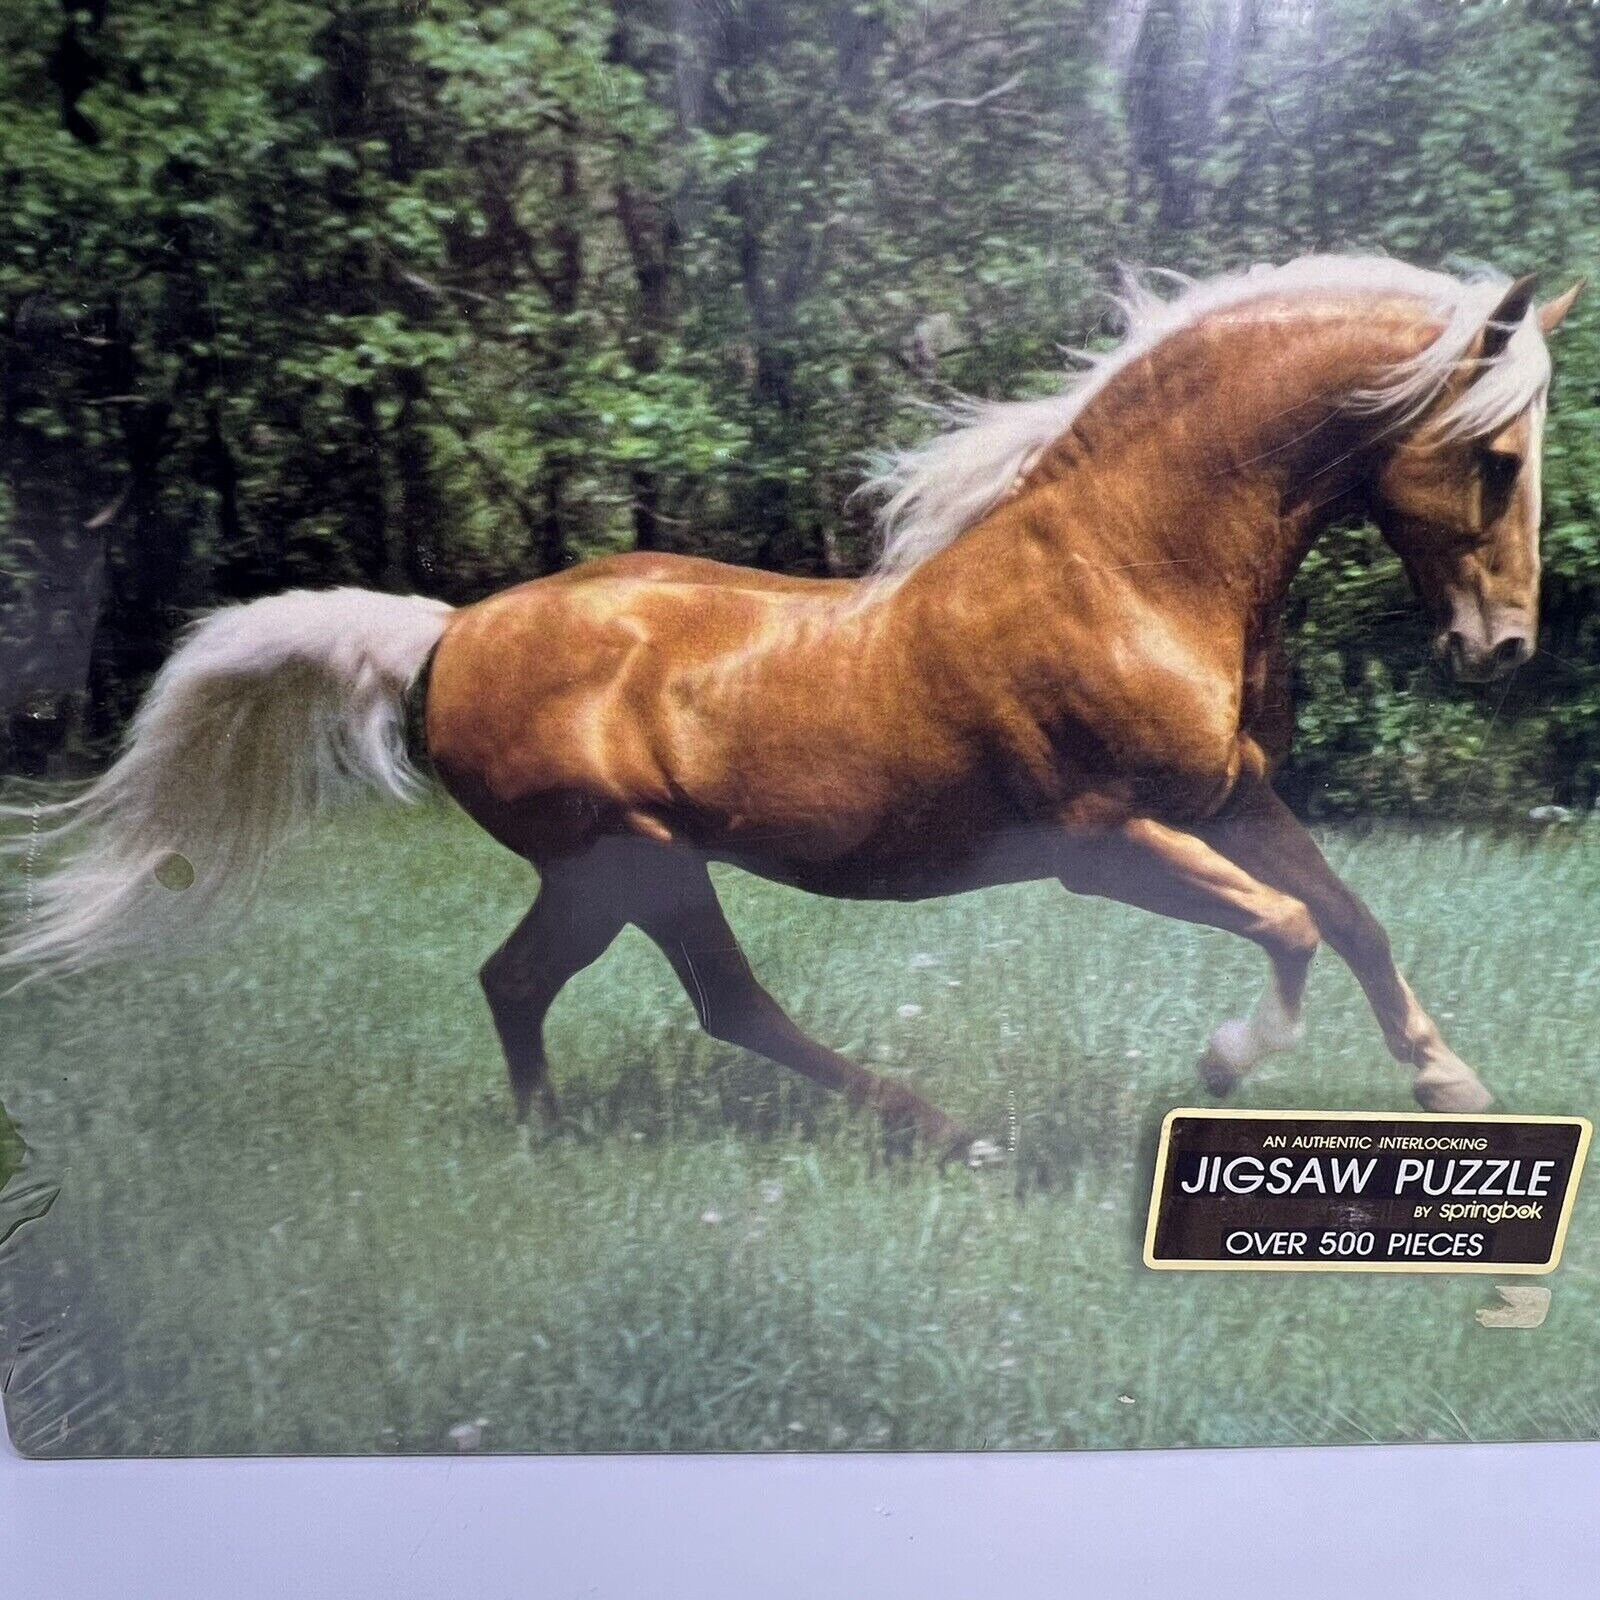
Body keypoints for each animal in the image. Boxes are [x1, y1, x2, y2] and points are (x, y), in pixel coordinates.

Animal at [2, 255, 1583, 1166]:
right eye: (1500, 457)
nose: (1502, 647)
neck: (1129, 567)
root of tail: (450, 633)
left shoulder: (1233, 797)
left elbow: (1354, 916)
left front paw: (1454, 1090)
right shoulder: (1101, 840)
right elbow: (1291, 926)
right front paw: (1224, 1061)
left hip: (615, 869)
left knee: (557, 989)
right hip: (629, 860)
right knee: (694, 1000)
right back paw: (925, 1134)